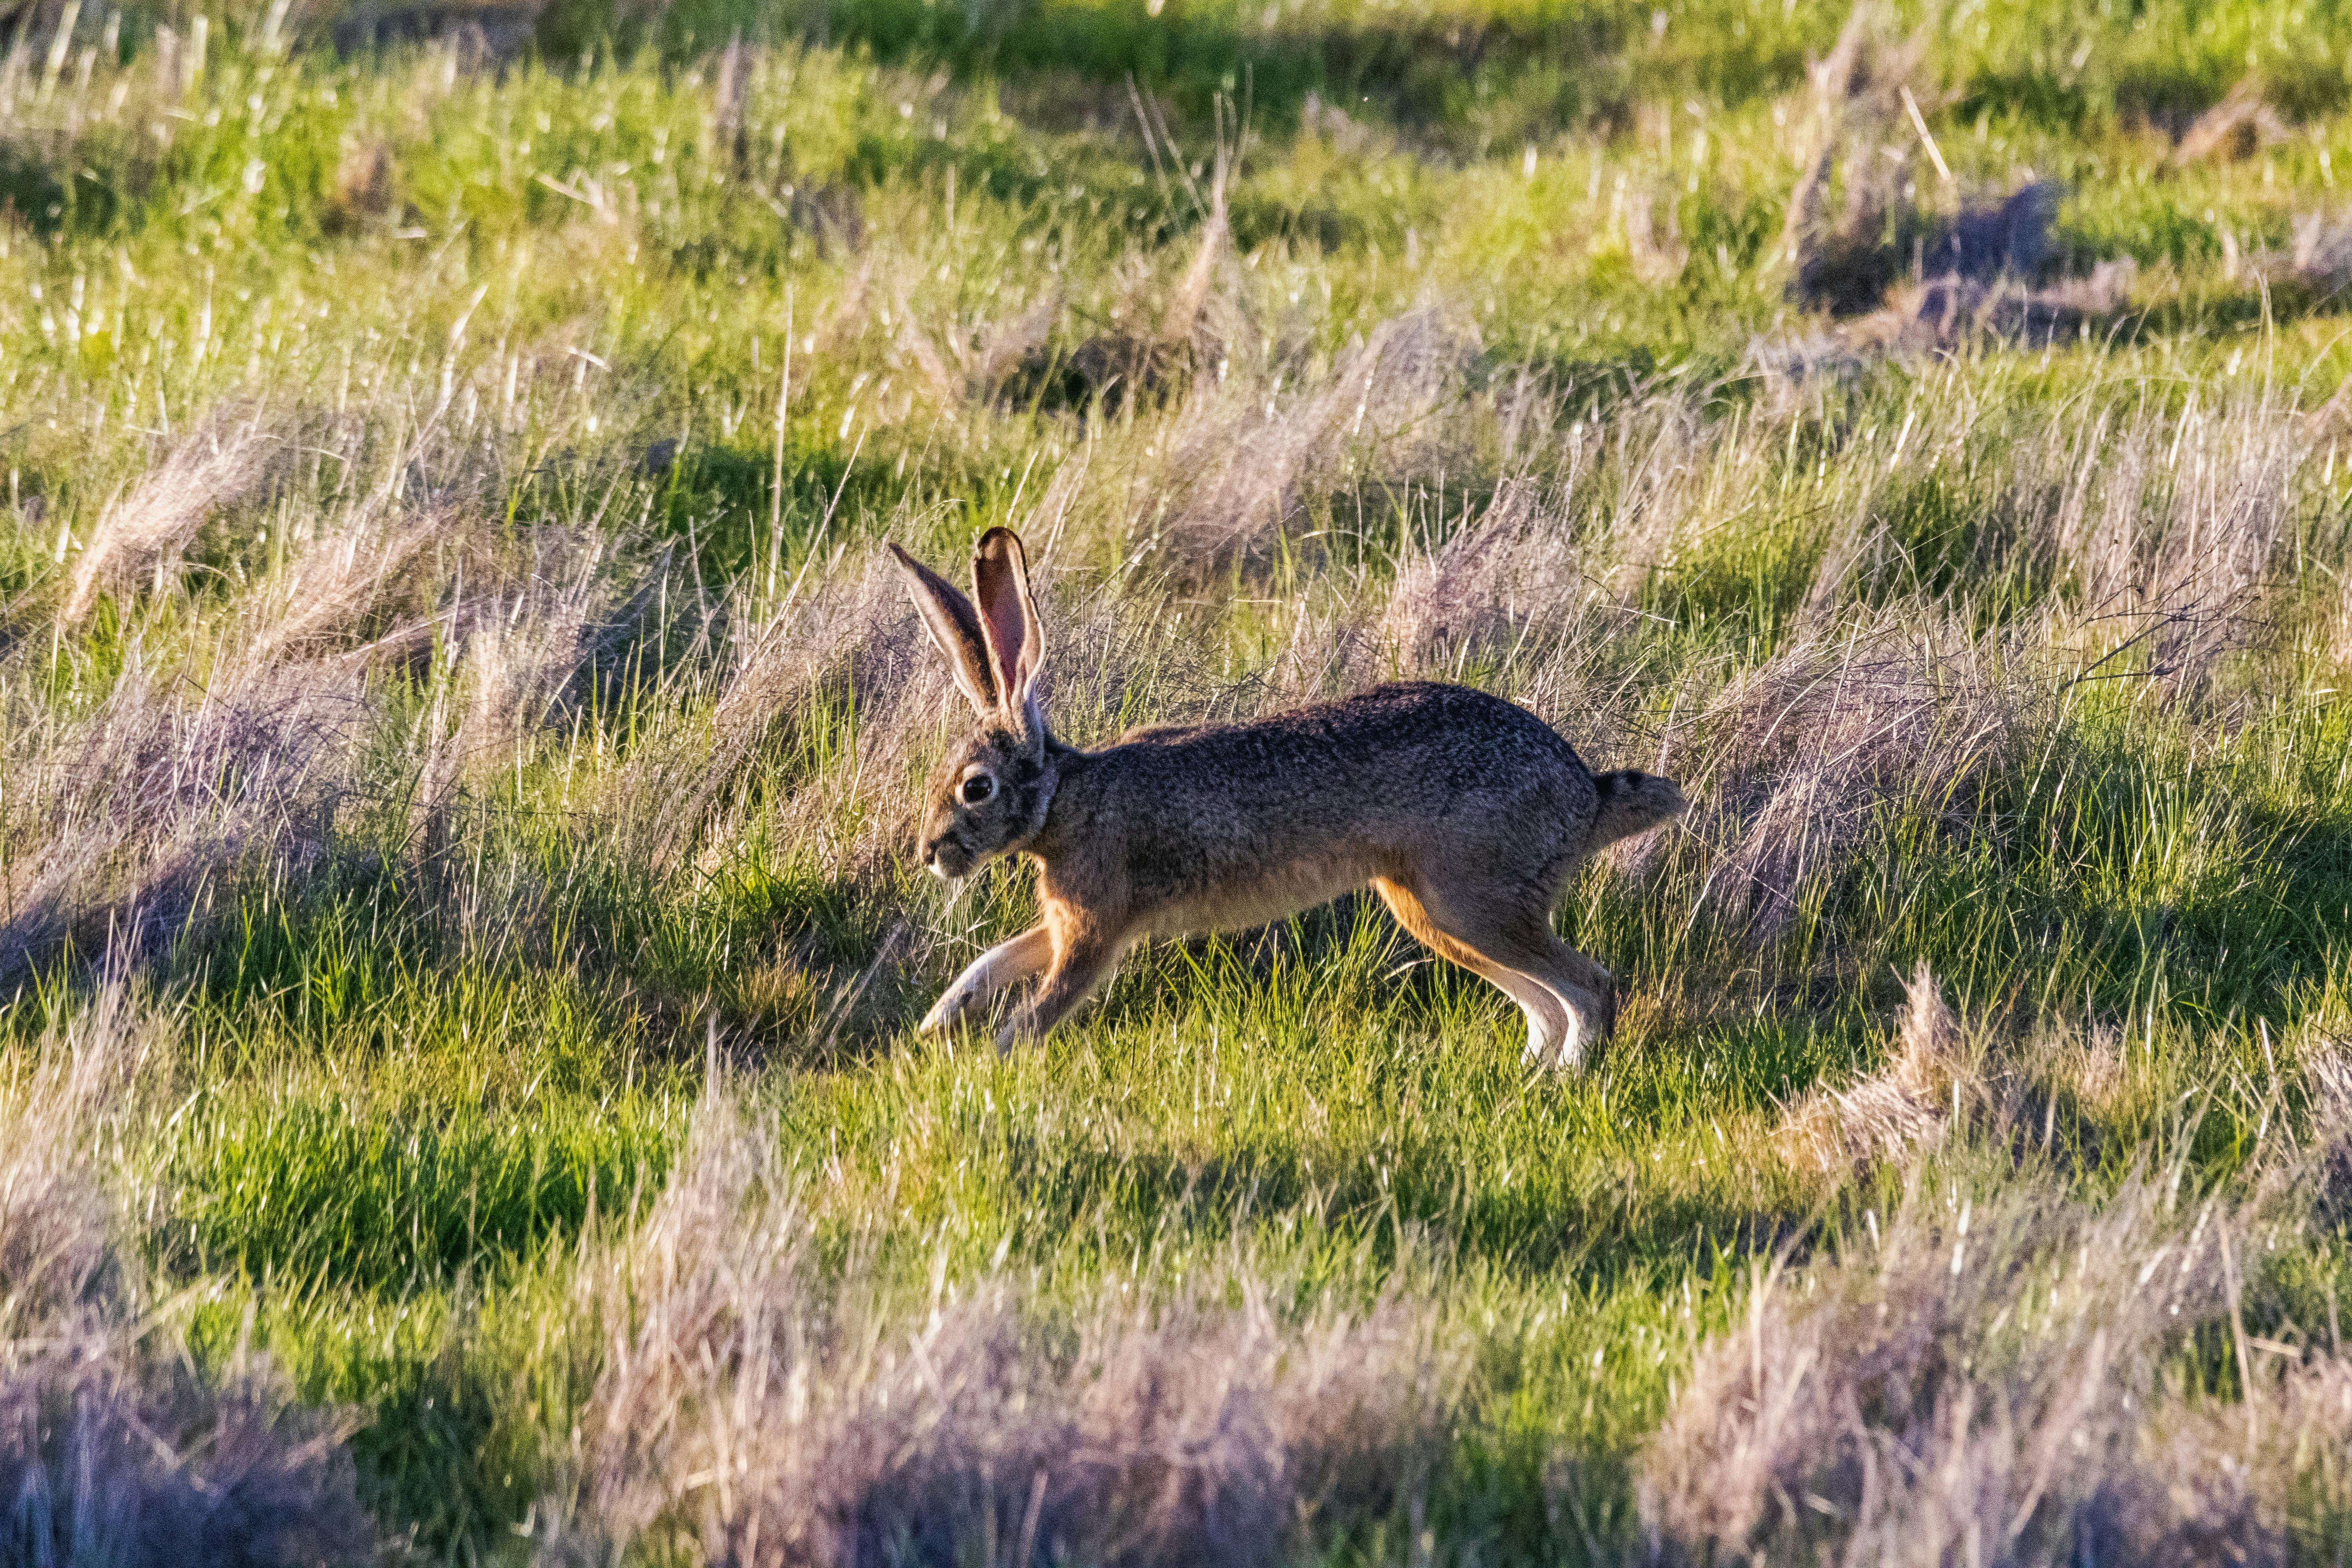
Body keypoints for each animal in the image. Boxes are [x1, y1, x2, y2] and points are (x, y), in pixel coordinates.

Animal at [889, 526, 1686, 1070]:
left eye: (977, 788)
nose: (929, 854)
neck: (1064, 800)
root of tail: (1582, 796)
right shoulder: (1069, 921)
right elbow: (995, 959)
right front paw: (939, 1022)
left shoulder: (1095, 928)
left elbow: (1043, 1007)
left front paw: (991, 1064)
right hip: (1432, 909)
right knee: (1543, 1000)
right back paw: (1530, 1078)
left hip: (1473, 899)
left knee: (1589, 987)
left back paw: (1568, 1079)